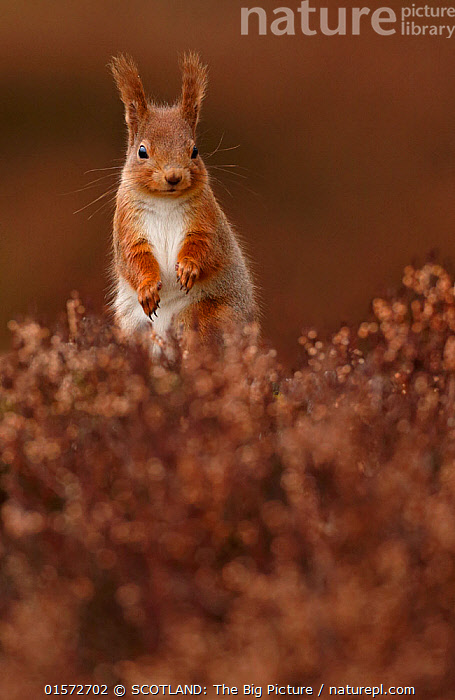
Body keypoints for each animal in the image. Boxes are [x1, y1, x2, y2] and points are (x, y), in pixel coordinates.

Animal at [109, 52, 257, 348]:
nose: (173, 176)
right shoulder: (127, 225)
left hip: (204, 315)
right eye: (142, 151)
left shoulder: (206, 219)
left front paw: (188, 269)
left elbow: (206, 247)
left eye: (194, 151)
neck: (164, 201)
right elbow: (134, 259)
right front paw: (147, 289)